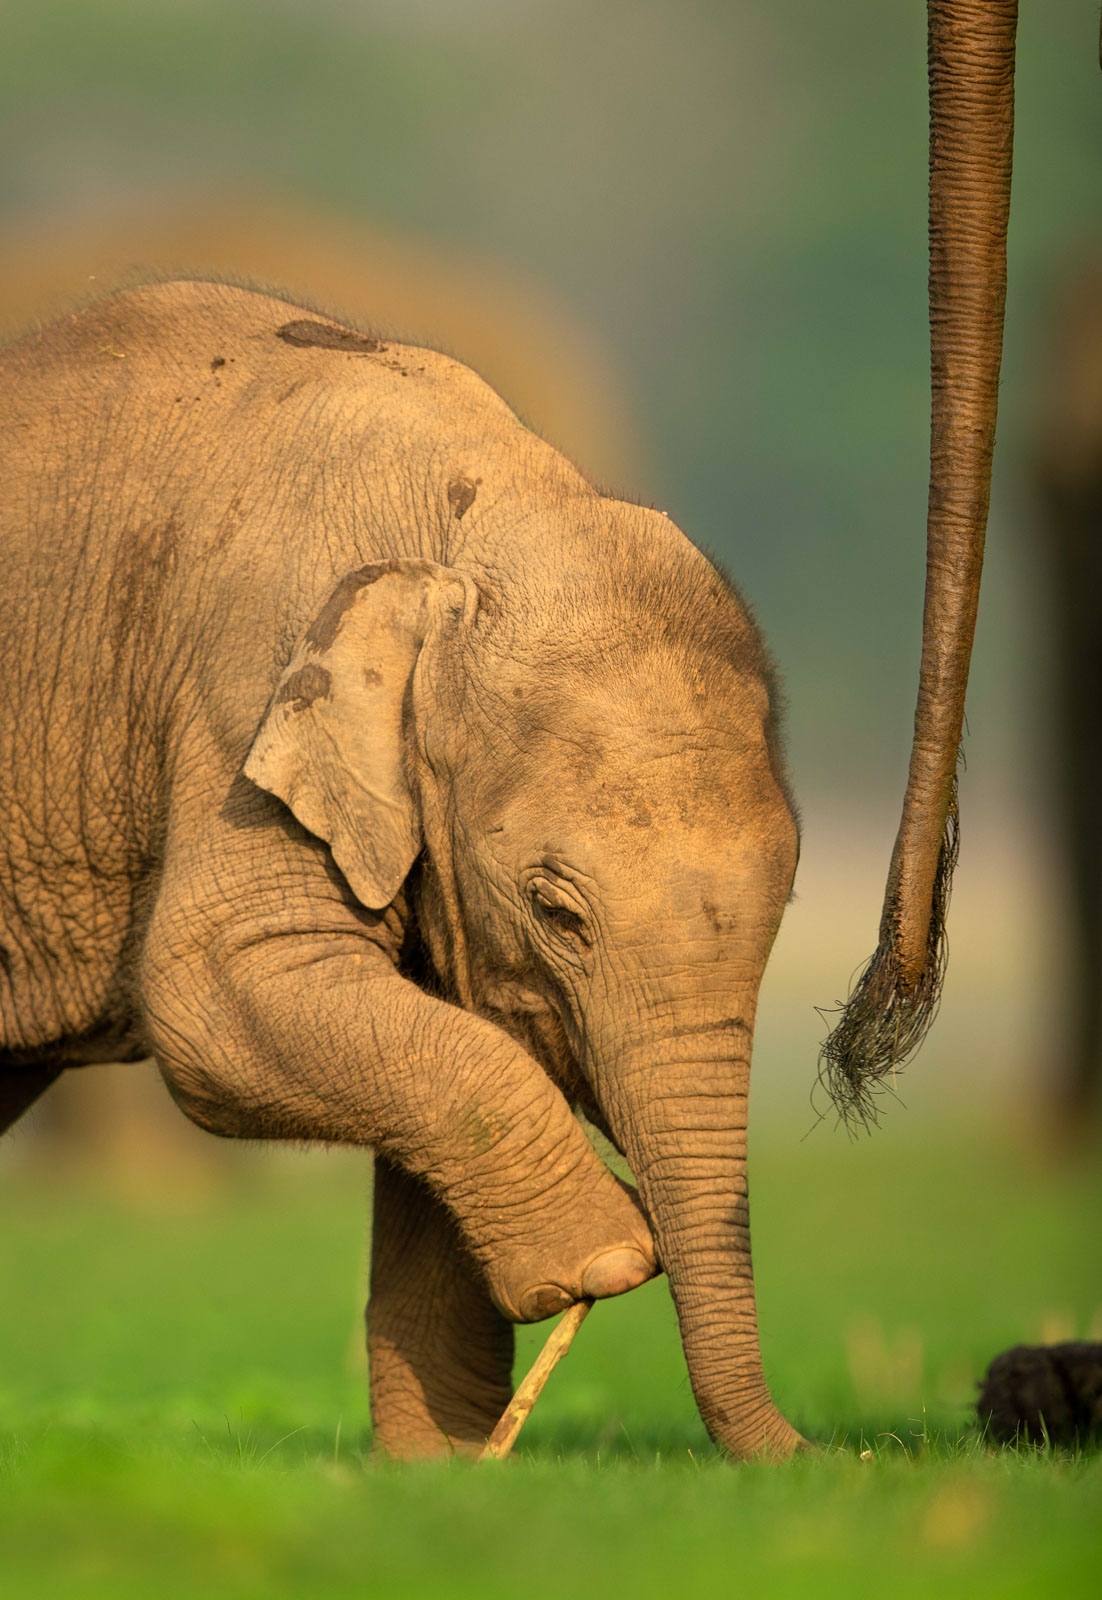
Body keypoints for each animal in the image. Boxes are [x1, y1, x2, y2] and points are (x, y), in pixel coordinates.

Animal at [1, 1, 1017, 1461]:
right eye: (558, 909)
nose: (838, 1456)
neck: (476, 511)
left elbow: (440, 1037)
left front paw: (432, 1473)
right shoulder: (239, 687)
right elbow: (231, 992)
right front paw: (598, 1263)